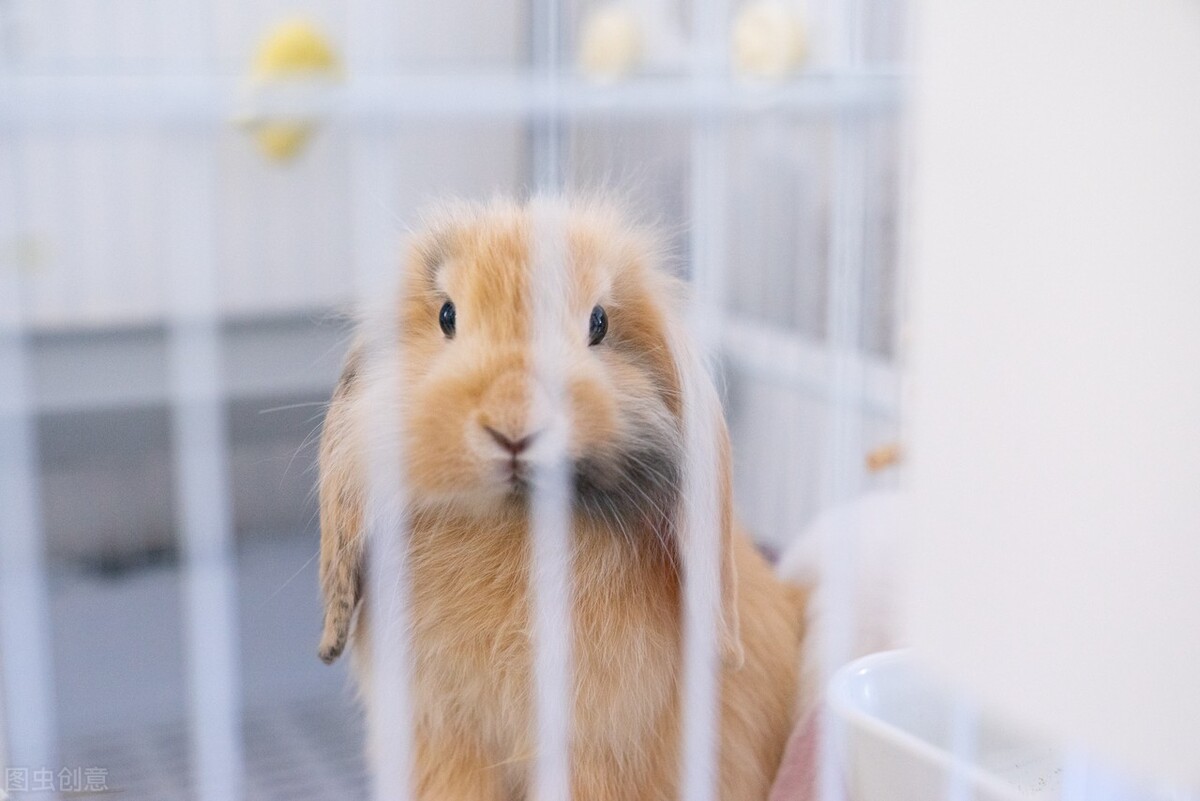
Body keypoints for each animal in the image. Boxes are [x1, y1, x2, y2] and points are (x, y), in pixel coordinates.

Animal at [316, 197, 807, 801]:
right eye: (447, 316)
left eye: (599, 323)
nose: (513, 425)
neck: (519, 521)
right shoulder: (443, 739)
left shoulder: (595, 751)